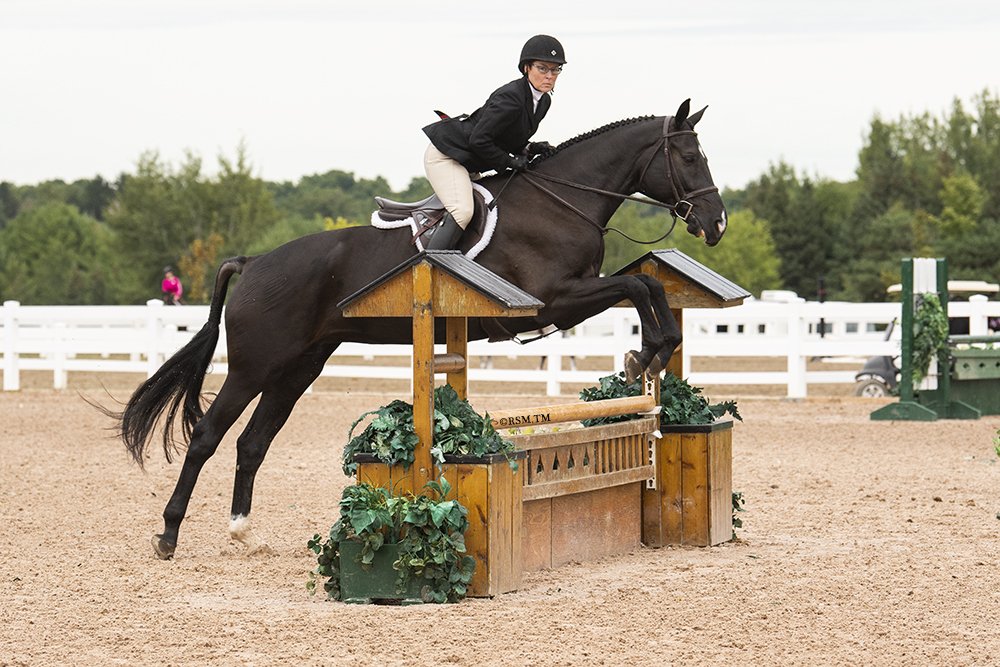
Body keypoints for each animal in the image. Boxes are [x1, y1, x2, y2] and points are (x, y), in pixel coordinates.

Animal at [109, 98, 727, 559]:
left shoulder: (571, 295)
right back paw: (168, 535)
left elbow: (645, 288)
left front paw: (651, 353)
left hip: (298, 367)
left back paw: (242, 532)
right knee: (207, 436)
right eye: (688, 156)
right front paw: (646, 355)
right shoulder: (552, 301)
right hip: (254, 366)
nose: (716, 224)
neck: (563, 202)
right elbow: (638, 287)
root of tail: (255, 260)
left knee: (253, 441)